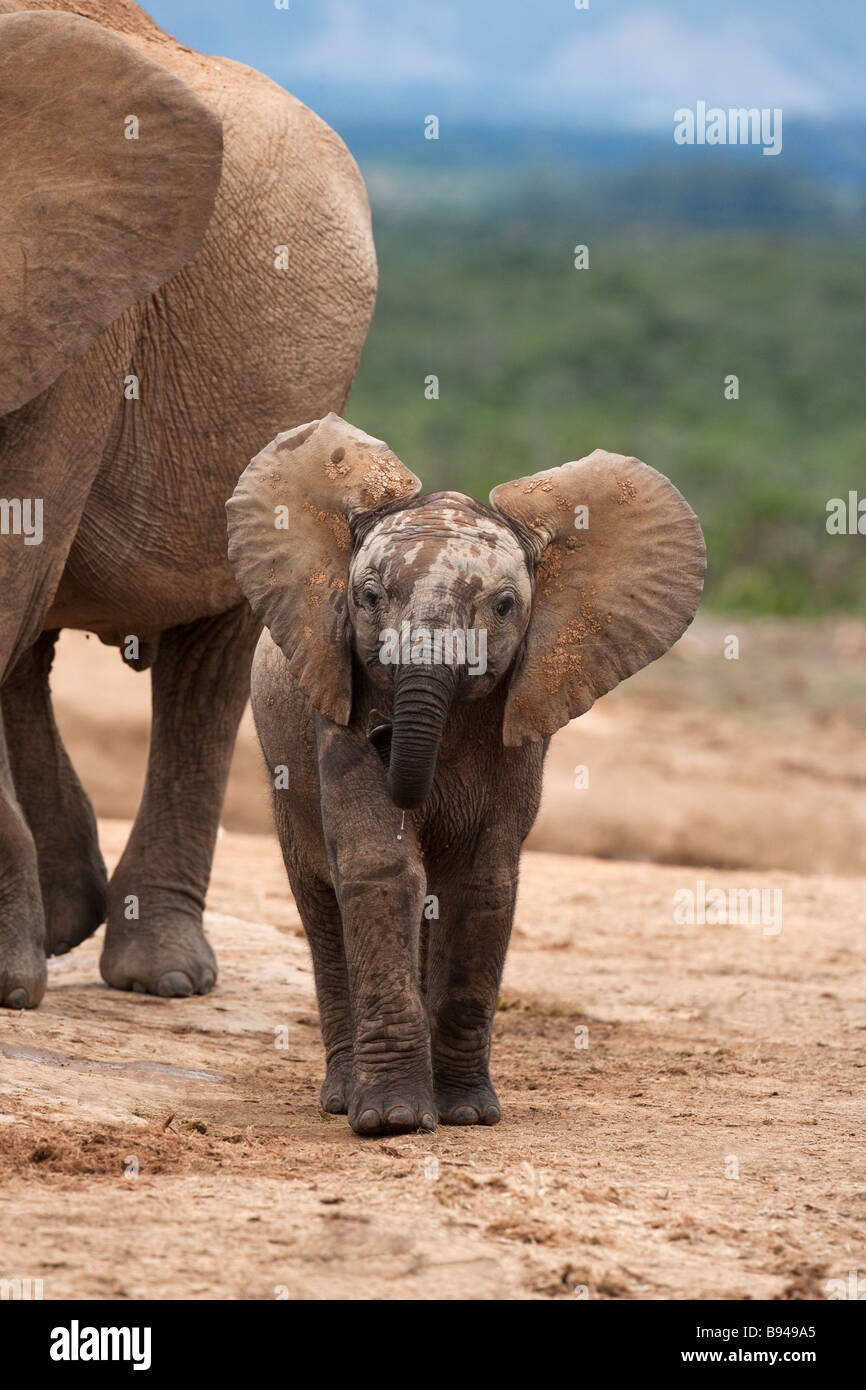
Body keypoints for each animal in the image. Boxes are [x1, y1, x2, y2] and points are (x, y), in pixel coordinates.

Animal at [226, 414, 706, 1136]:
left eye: (505, 606)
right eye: (369, 598)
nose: (383, 735)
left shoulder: (523, 714)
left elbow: (481, 883)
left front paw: (467, 1115)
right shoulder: (337, 698)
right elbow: (381, 866)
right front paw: (394, 1121)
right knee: (320, 894)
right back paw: (341, 1097)